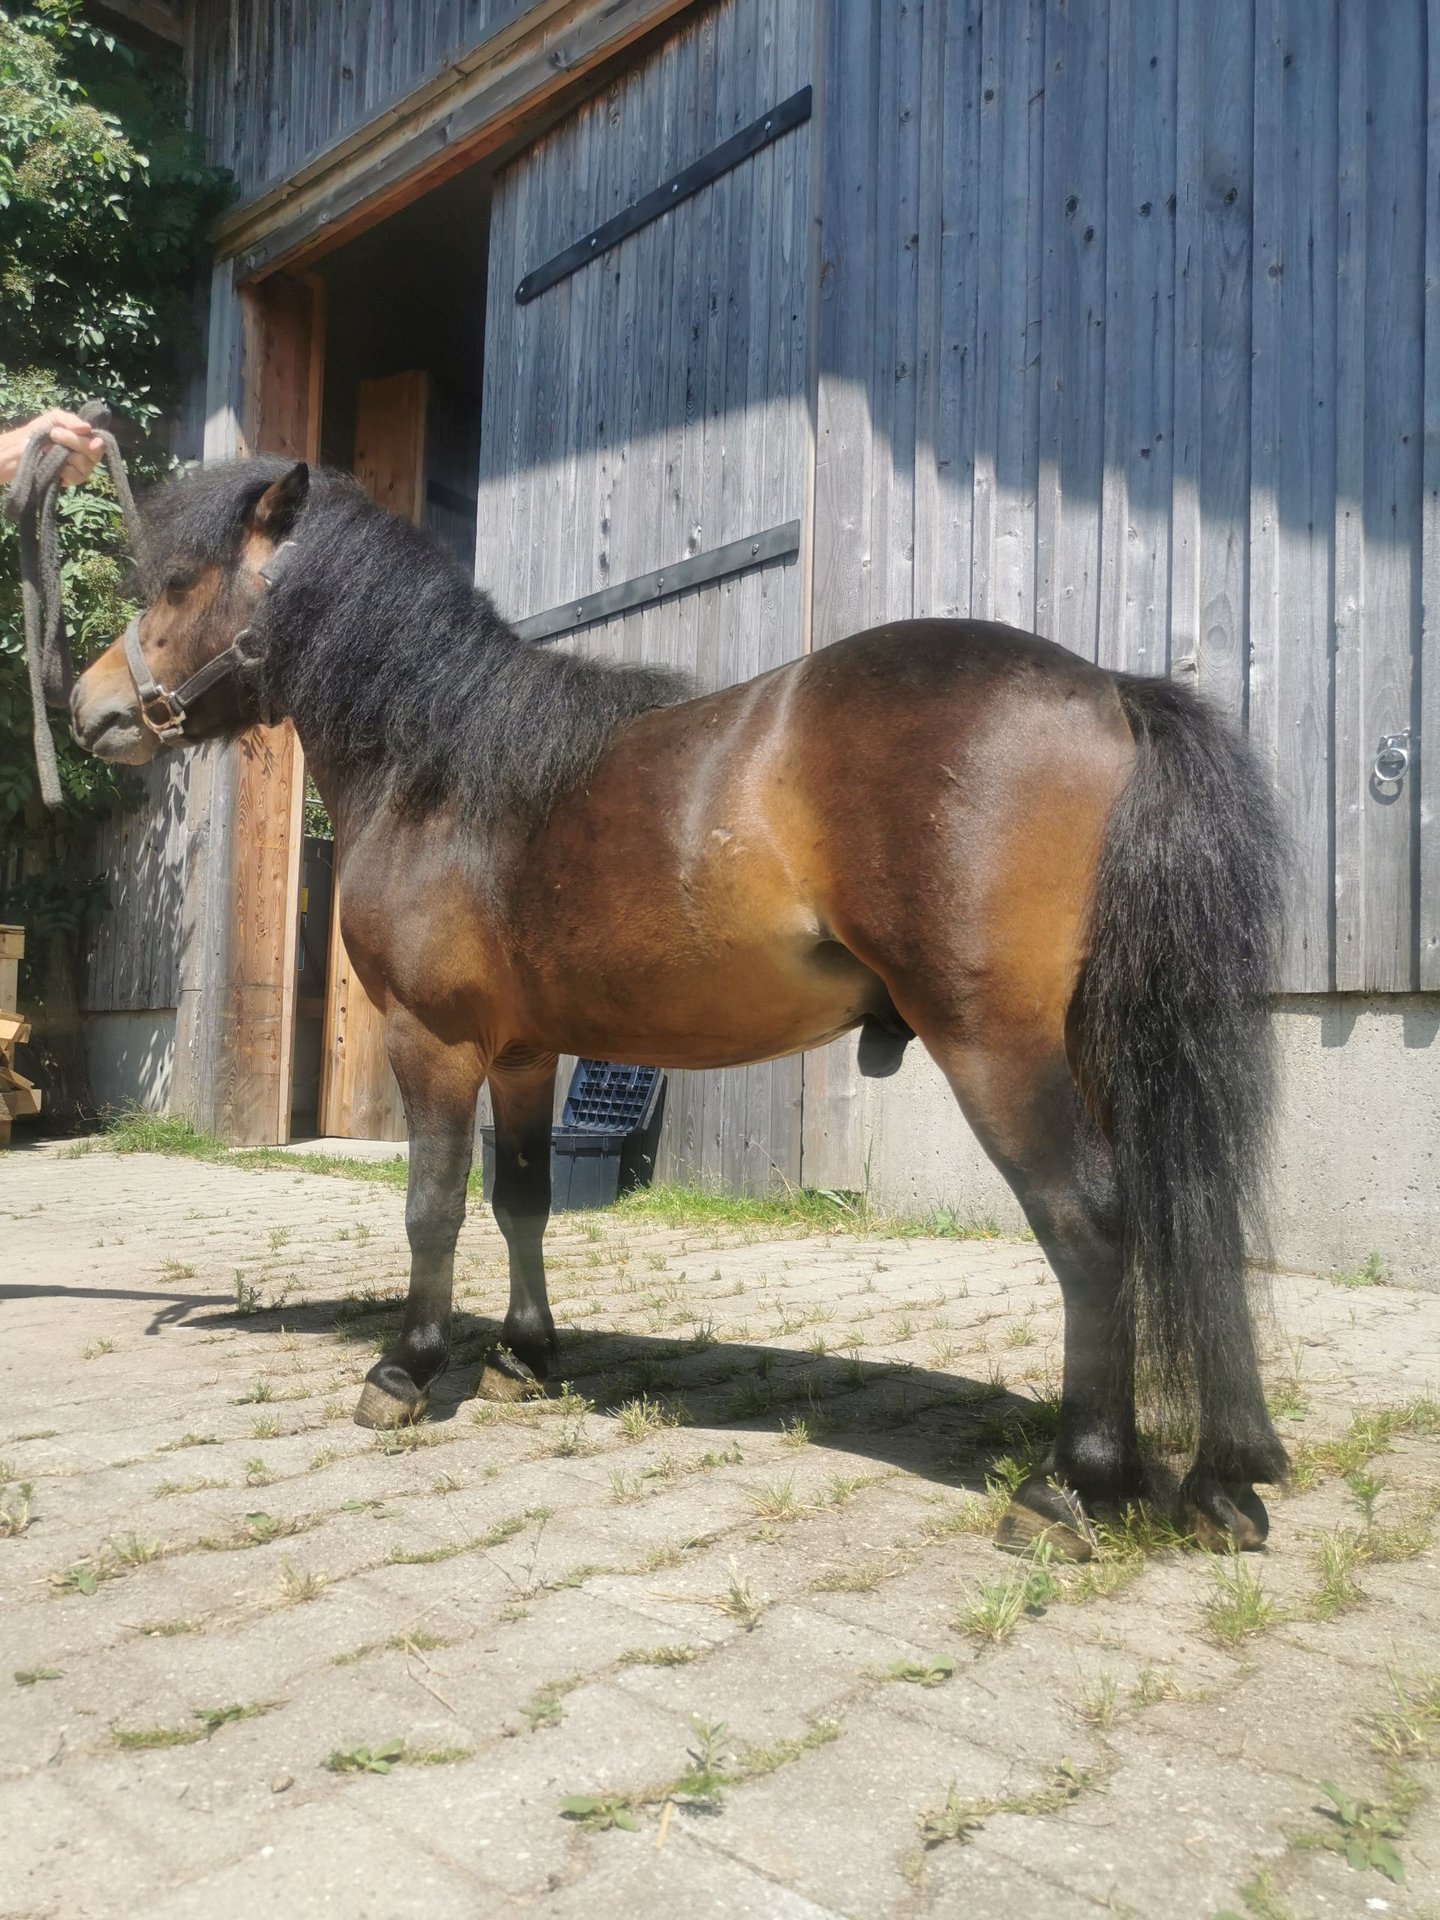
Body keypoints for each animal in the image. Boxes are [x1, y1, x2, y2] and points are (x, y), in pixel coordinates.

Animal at [70, 455, 1289, 1562]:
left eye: (176, 583)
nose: (89, 708)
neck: (443, 773)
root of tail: (1110, 688)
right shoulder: (526, 1054)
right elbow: (522, 1201)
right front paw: (523, 1358)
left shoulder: (437, 1042)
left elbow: (431, 1208)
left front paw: (404, 1372)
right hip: (1107, 1047)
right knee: (1190, 1218)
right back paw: (1221, 1480)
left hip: (997, 1046)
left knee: (1091, 1226)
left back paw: (1072, 1488)